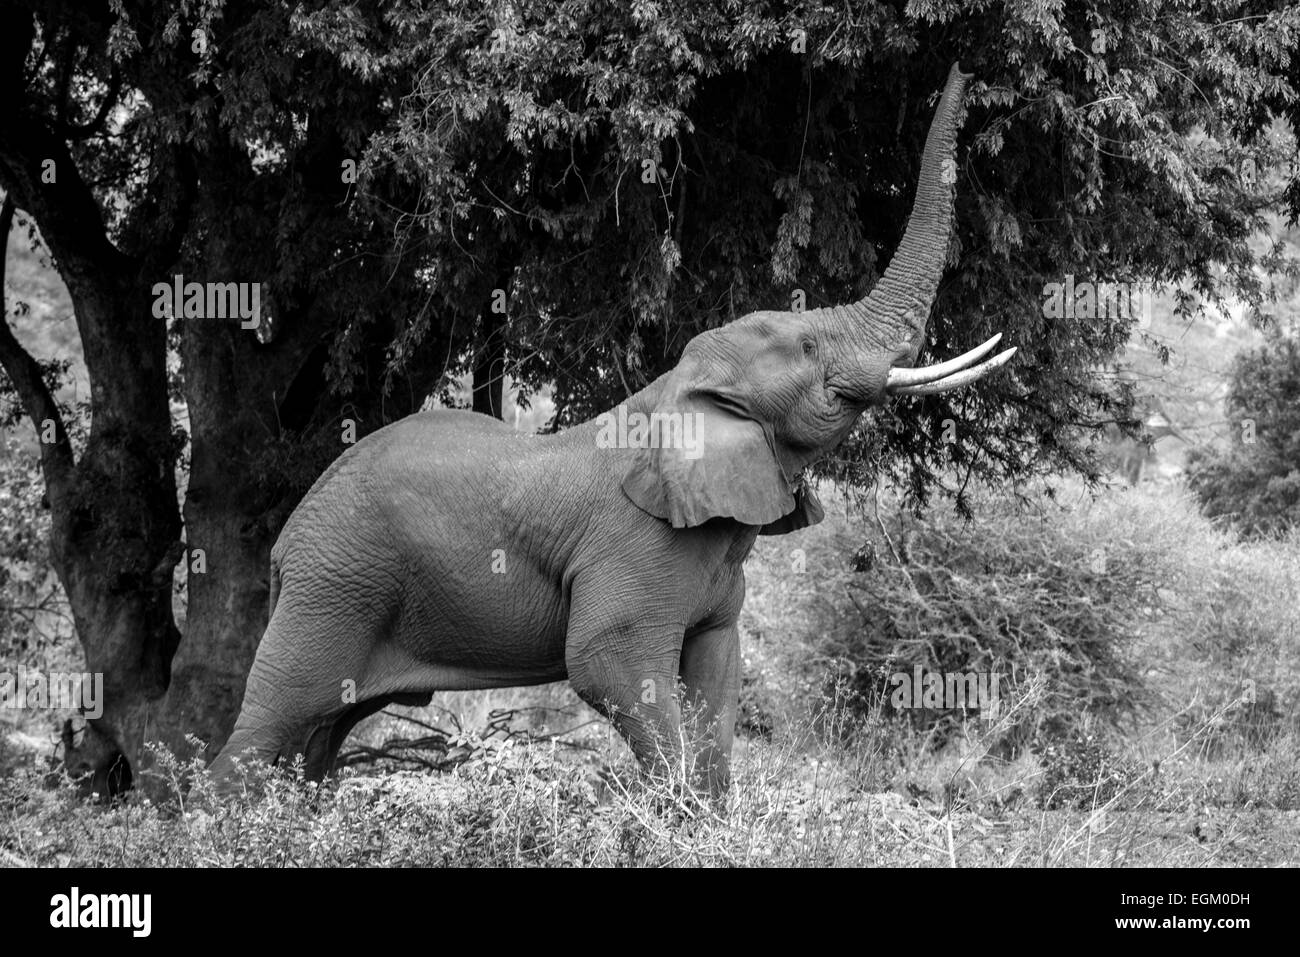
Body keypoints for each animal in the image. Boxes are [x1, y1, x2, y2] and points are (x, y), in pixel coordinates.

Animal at [210, 62, 1013, 795]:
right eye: (810, 346)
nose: (965, 67)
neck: (677, 391)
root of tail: (285, 542)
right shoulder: (635, 545)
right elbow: (611, 664)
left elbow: (718, 674)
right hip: (334, 584)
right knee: (271, 725)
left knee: (319, 738)